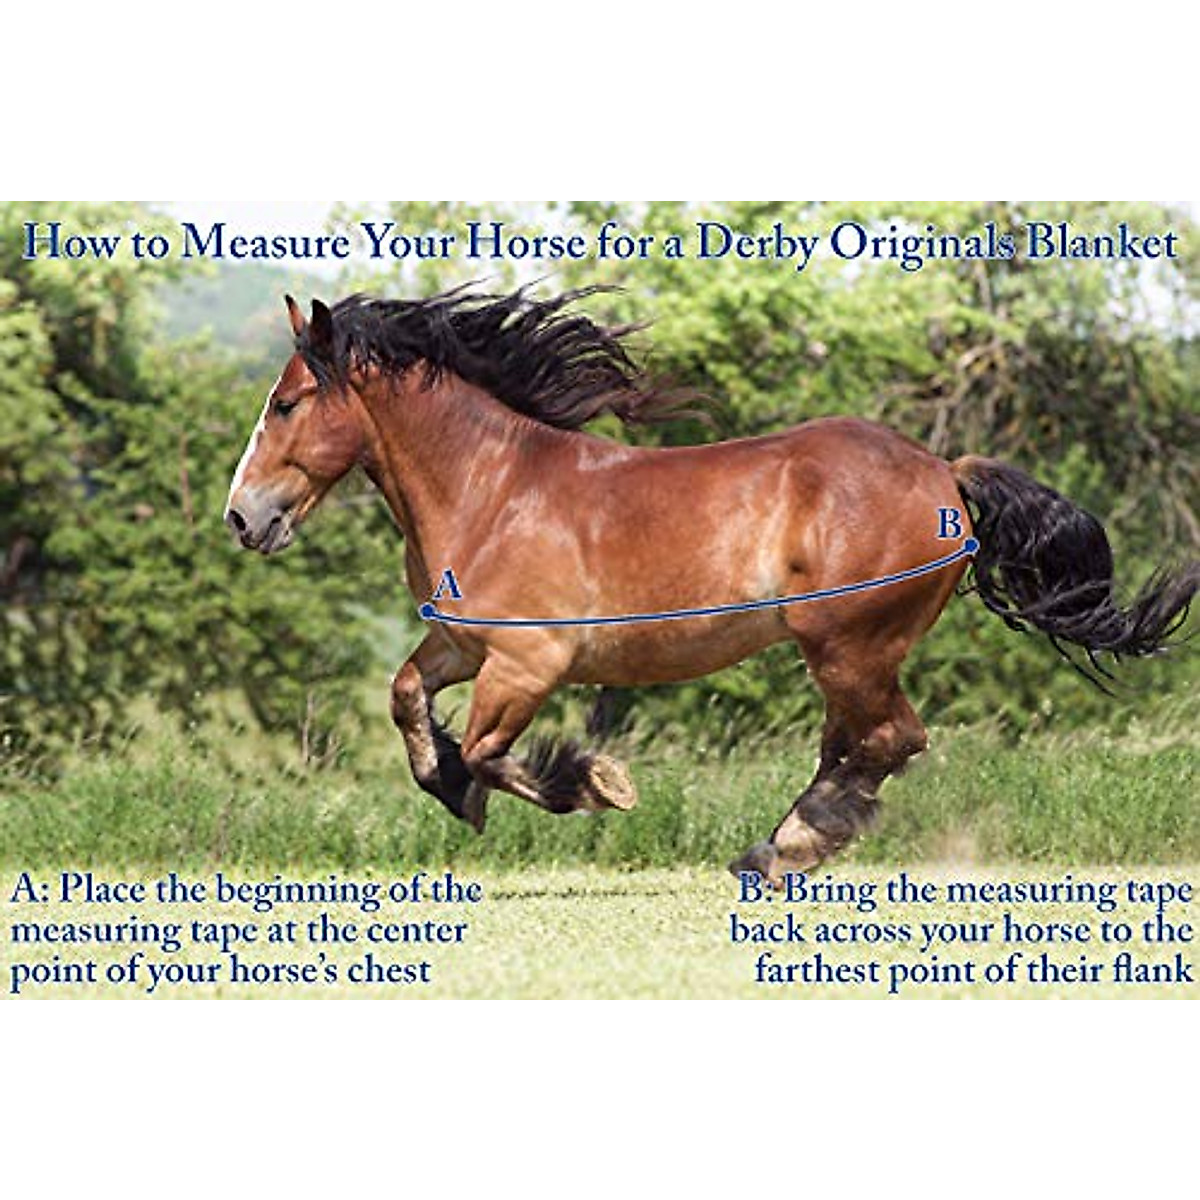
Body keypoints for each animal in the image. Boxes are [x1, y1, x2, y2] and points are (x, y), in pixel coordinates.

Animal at [224, 287, 1198, 885]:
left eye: (286, 404)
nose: (242, 518)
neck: (492, 489)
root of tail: (945, 474)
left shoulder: (529, 663)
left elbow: (495, 752)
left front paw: (596, 783)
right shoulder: (460, 646)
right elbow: (407, 702)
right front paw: (452, 785)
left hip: (850, 645)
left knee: (890, 739)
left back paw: (784, 849)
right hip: (842, 655)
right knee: (858, 745)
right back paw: (785, 843)